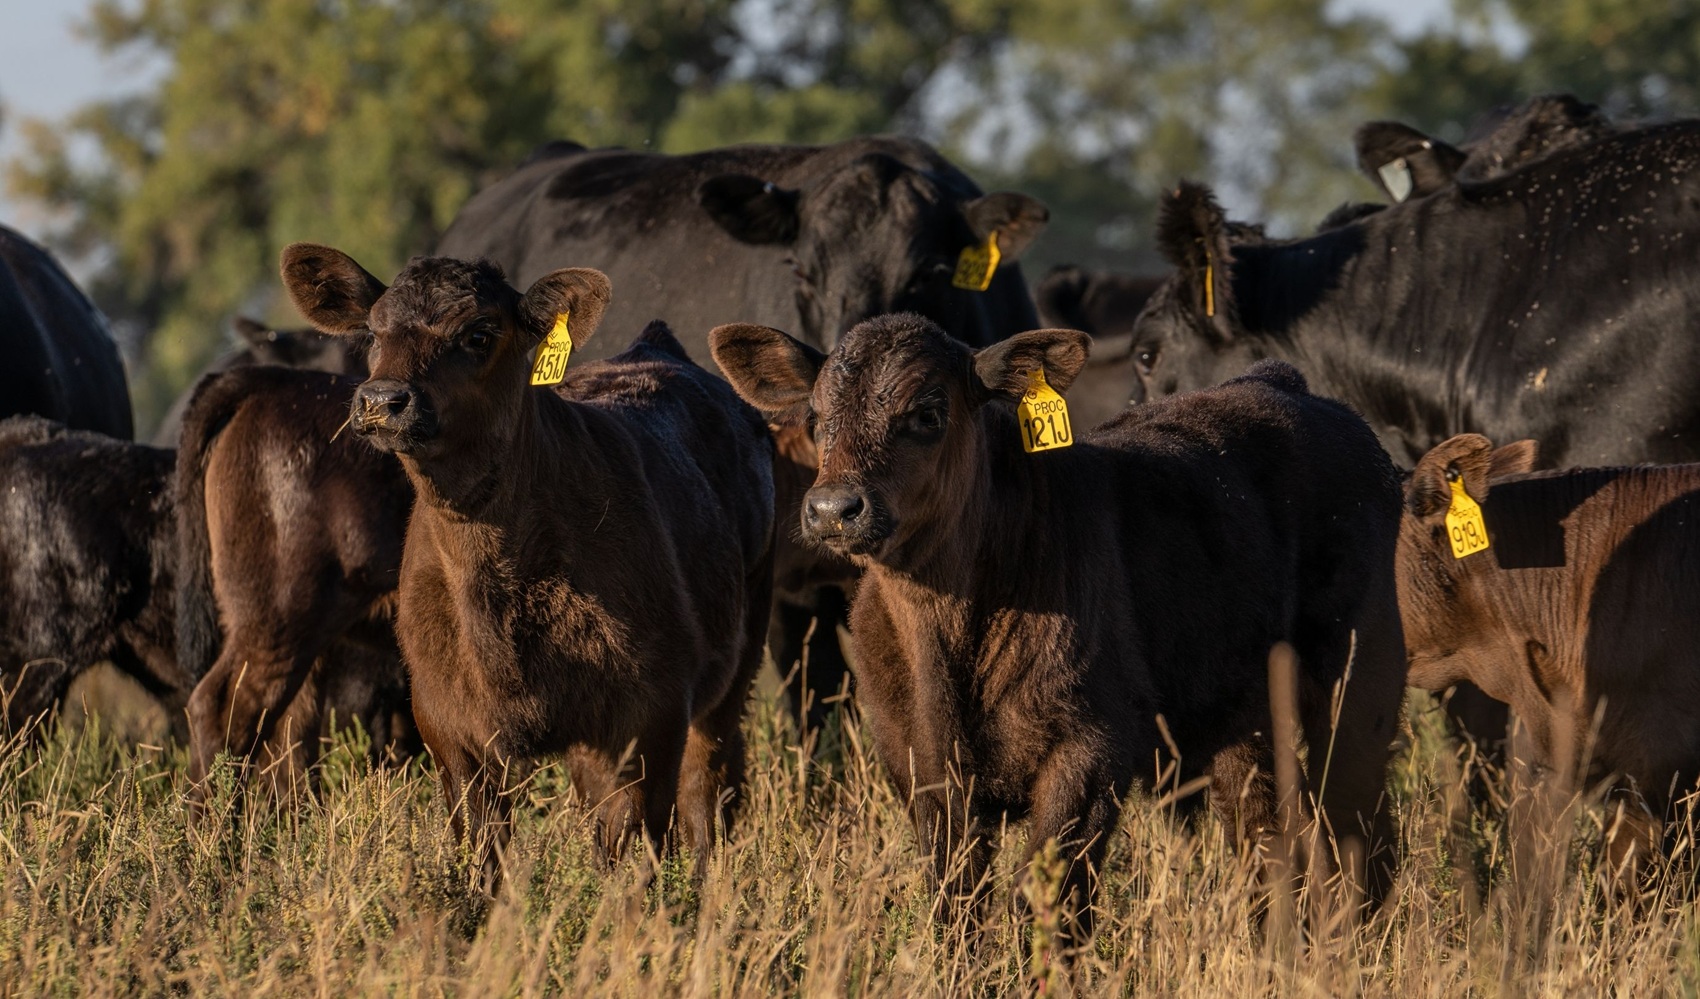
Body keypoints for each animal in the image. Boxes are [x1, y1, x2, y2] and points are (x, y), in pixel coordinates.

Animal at [279, 244, 776, 895]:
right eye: (373, 332)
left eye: (479, 333)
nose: (382, 400)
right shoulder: (447, 727)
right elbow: (484, 856)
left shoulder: (651, 715)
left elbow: (634, 858)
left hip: (735, 662)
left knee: (704, 794)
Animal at [710, 315, 1409, 942]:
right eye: (815, 418)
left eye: (929, 413)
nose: (834, 509)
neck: (949, 639)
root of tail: (1282, 384)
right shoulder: (918, 763)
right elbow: (955, 904)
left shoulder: (1088, 753)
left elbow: (1046, 904)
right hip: (1245, 723)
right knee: (1267, 838)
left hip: (1361, 689)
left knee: (1359, 837)